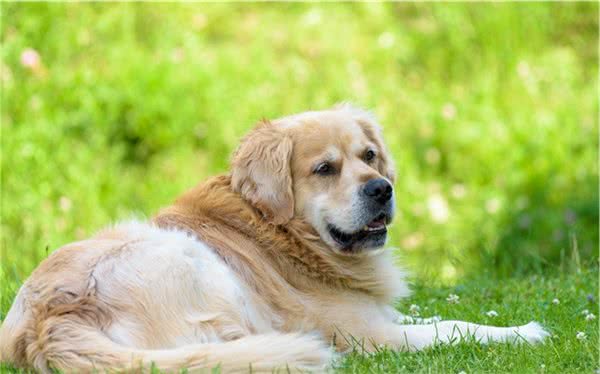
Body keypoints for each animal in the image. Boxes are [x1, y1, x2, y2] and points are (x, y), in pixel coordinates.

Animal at [0, 104, 548, 372]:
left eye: (369, 155)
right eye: (325, 169)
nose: (381, 189)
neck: (283, 234)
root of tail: (47, 323)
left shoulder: (377, 316)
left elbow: (442, 320)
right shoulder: (372, 334)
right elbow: (454, 327)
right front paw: (522, 332)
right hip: (186, 257)